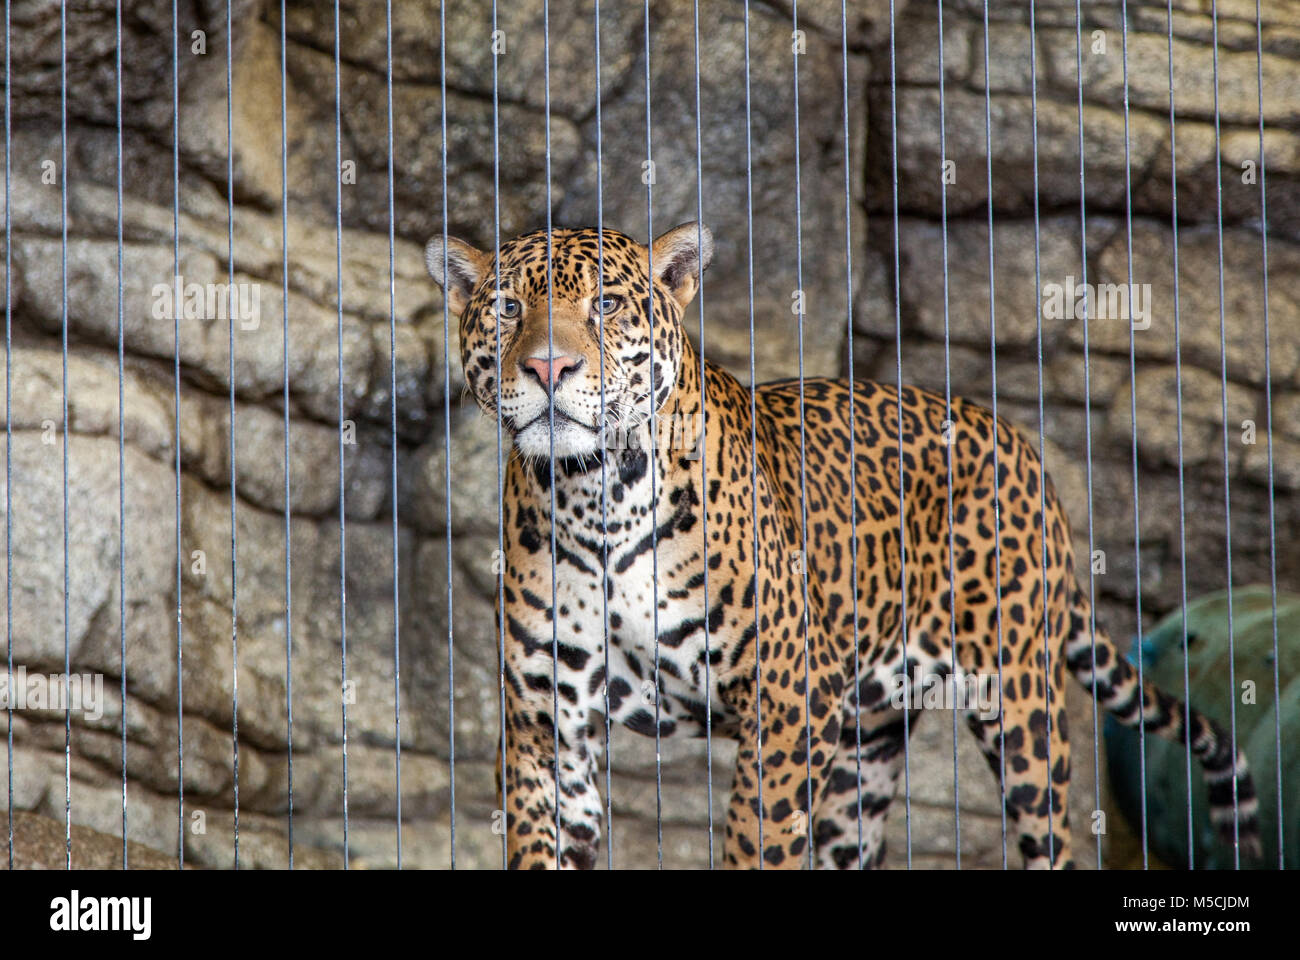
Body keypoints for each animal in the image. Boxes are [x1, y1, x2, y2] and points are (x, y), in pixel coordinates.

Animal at [424, 219, 1260, 870]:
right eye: (507, 308)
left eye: (604, 305)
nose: (548, 366)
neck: (595, 499)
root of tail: (1021, 449)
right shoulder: (544, 726)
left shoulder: (786, 701)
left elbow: (756, 843)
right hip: (866, 744)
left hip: (1022, 713)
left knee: (1052, 838)